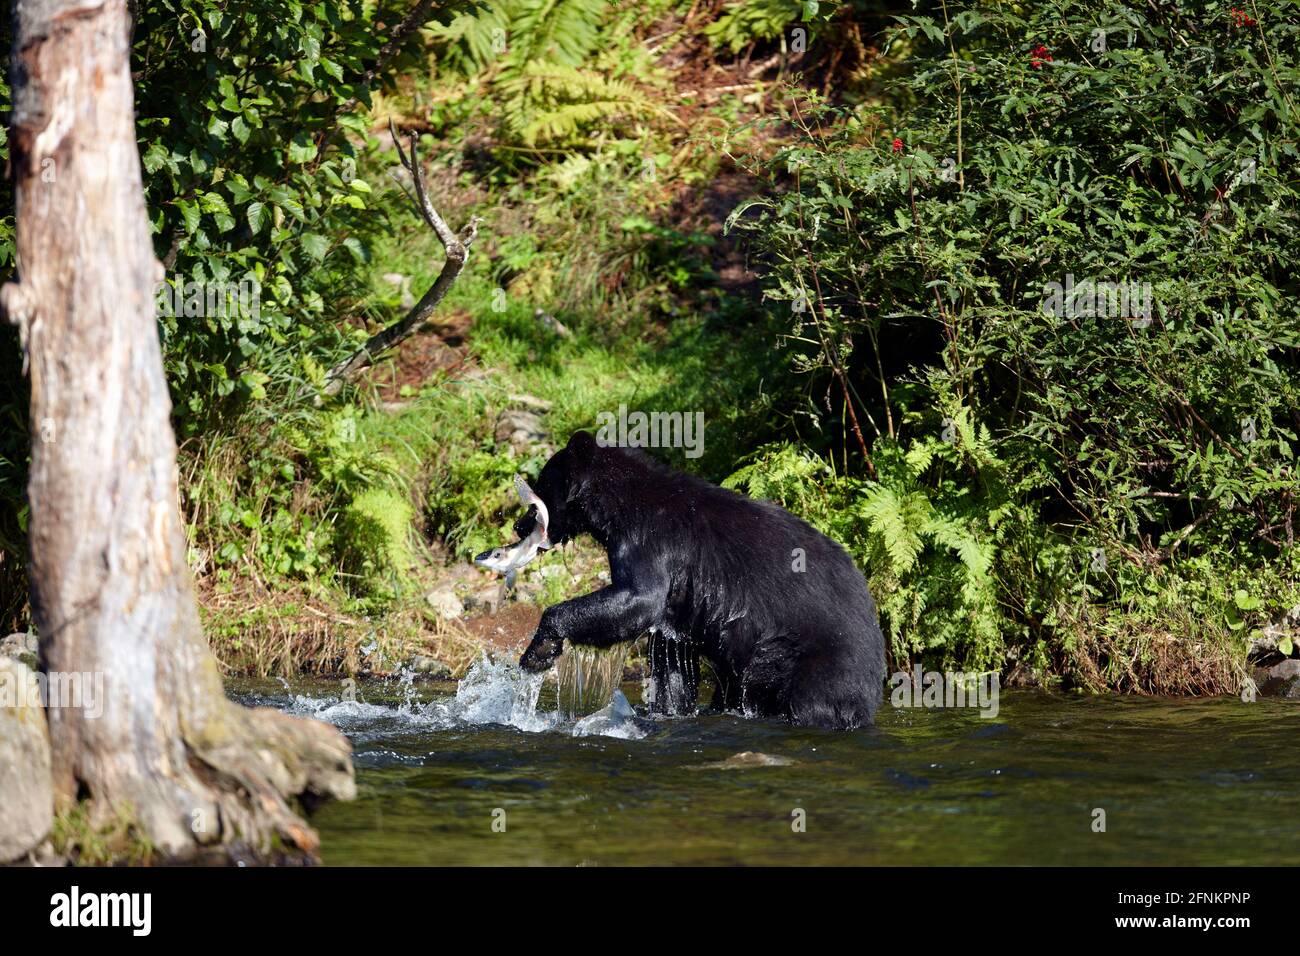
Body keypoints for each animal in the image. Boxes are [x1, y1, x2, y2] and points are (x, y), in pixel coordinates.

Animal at [511, 431, 885, 729]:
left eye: (540, 487)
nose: (518, 525)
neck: (619, 505)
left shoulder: (652, 542)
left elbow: (638, 598)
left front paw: (537, 652)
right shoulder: (678, 615)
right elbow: (669, 665)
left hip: (820, 661)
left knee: (812, 698)